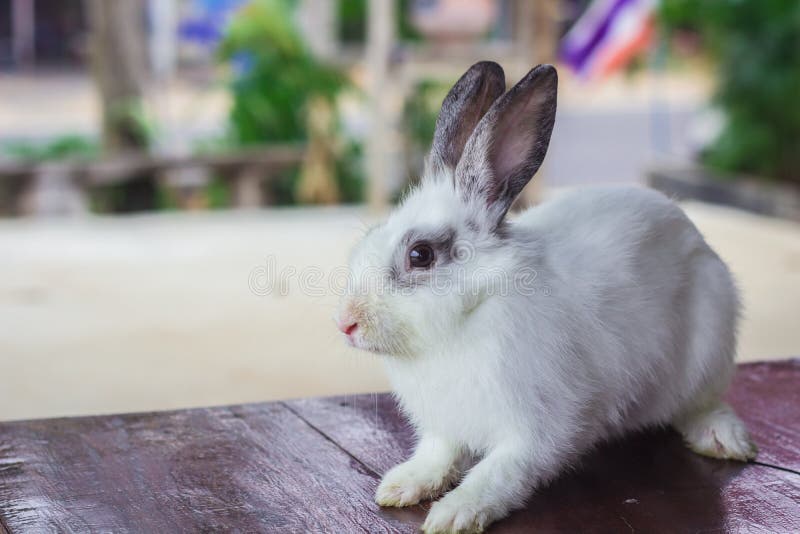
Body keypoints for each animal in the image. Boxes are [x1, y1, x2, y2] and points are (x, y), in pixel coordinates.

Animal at [336, 62, 757, 533]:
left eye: (420, 255)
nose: (346, 322)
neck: (472, 312)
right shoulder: (446, 426)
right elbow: (437, 456)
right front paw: (402, 485)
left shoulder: (540, 429)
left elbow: (500, 473)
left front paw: (456, 513)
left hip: (708, 345)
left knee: (702, 404)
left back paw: (725, 439)